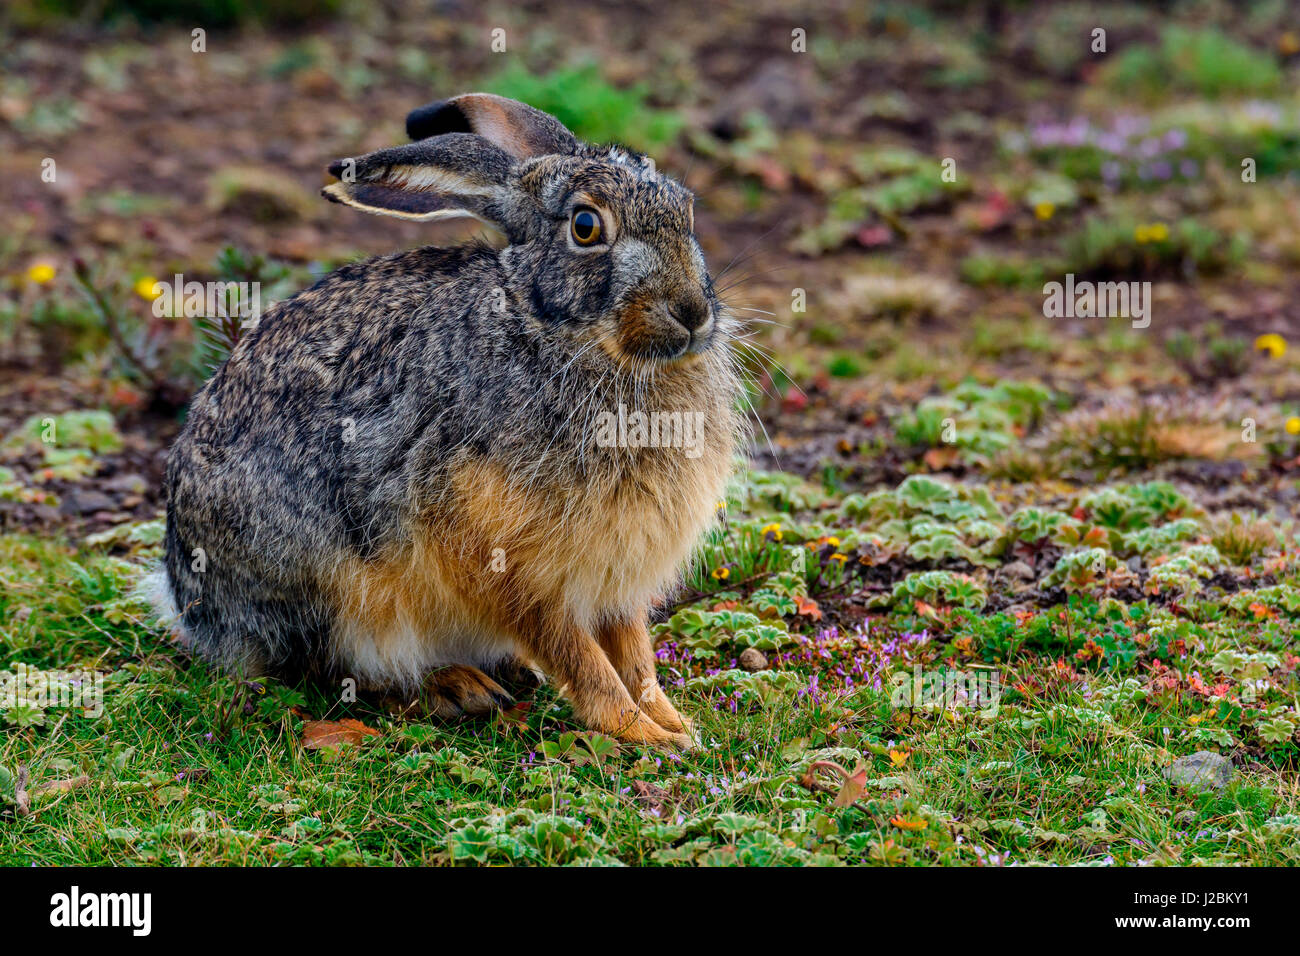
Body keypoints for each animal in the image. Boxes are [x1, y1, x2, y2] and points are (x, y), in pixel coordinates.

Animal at [146, 93, 743, 749]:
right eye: (586, 228)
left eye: (686, 209)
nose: (692, 312)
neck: (551, 331)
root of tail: (191, 603)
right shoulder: (511, 568)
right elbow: (578, 655)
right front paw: (643, 733)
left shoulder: (617, 581)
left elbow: (633, 651)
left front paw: (675, 723)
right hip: (323, 585)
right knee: (327, 666)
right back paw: (455, 687)